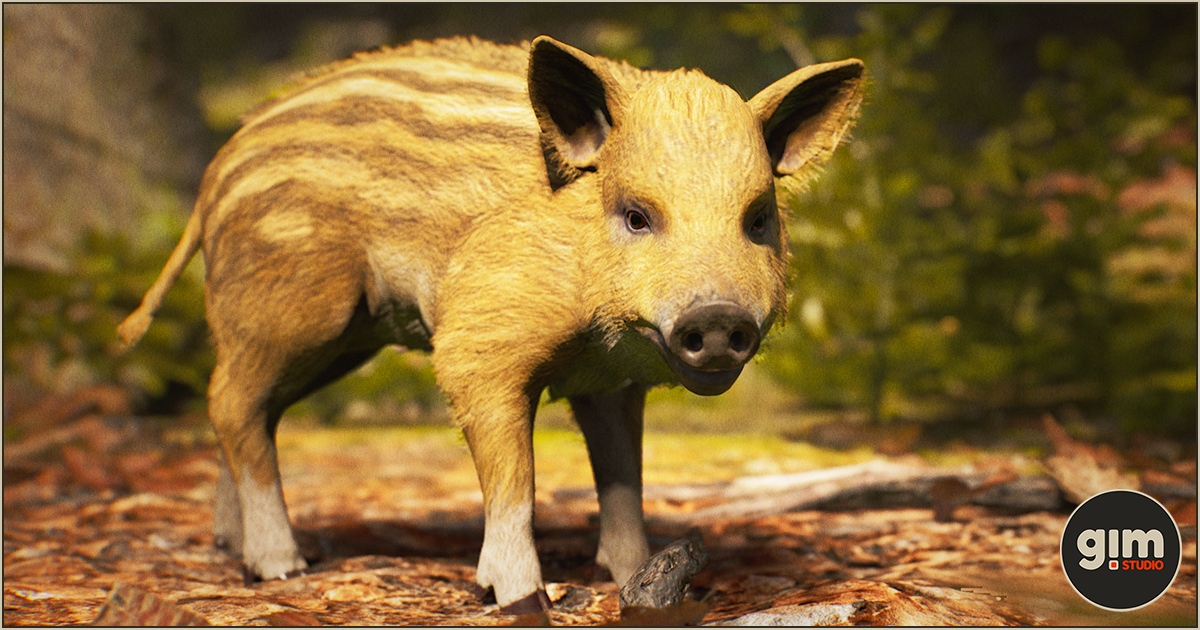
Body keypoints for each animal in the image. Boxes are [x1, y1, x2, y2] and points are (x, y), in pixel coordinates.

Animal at [118, 35, 863, 611]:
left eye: (758, 219)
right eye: (636, 215)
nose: (716, 318)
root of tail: (215, 173)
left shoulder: (612, 381)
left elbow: (623, 474)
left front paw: (628, 574)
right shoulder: (477, 346)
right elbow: (516, 480)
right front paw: (521, 597)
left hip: (336, 339)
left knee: (243, 405)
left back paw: (232, 549)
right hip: (292, 311)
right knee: (233, 403)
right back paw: (281, 567)